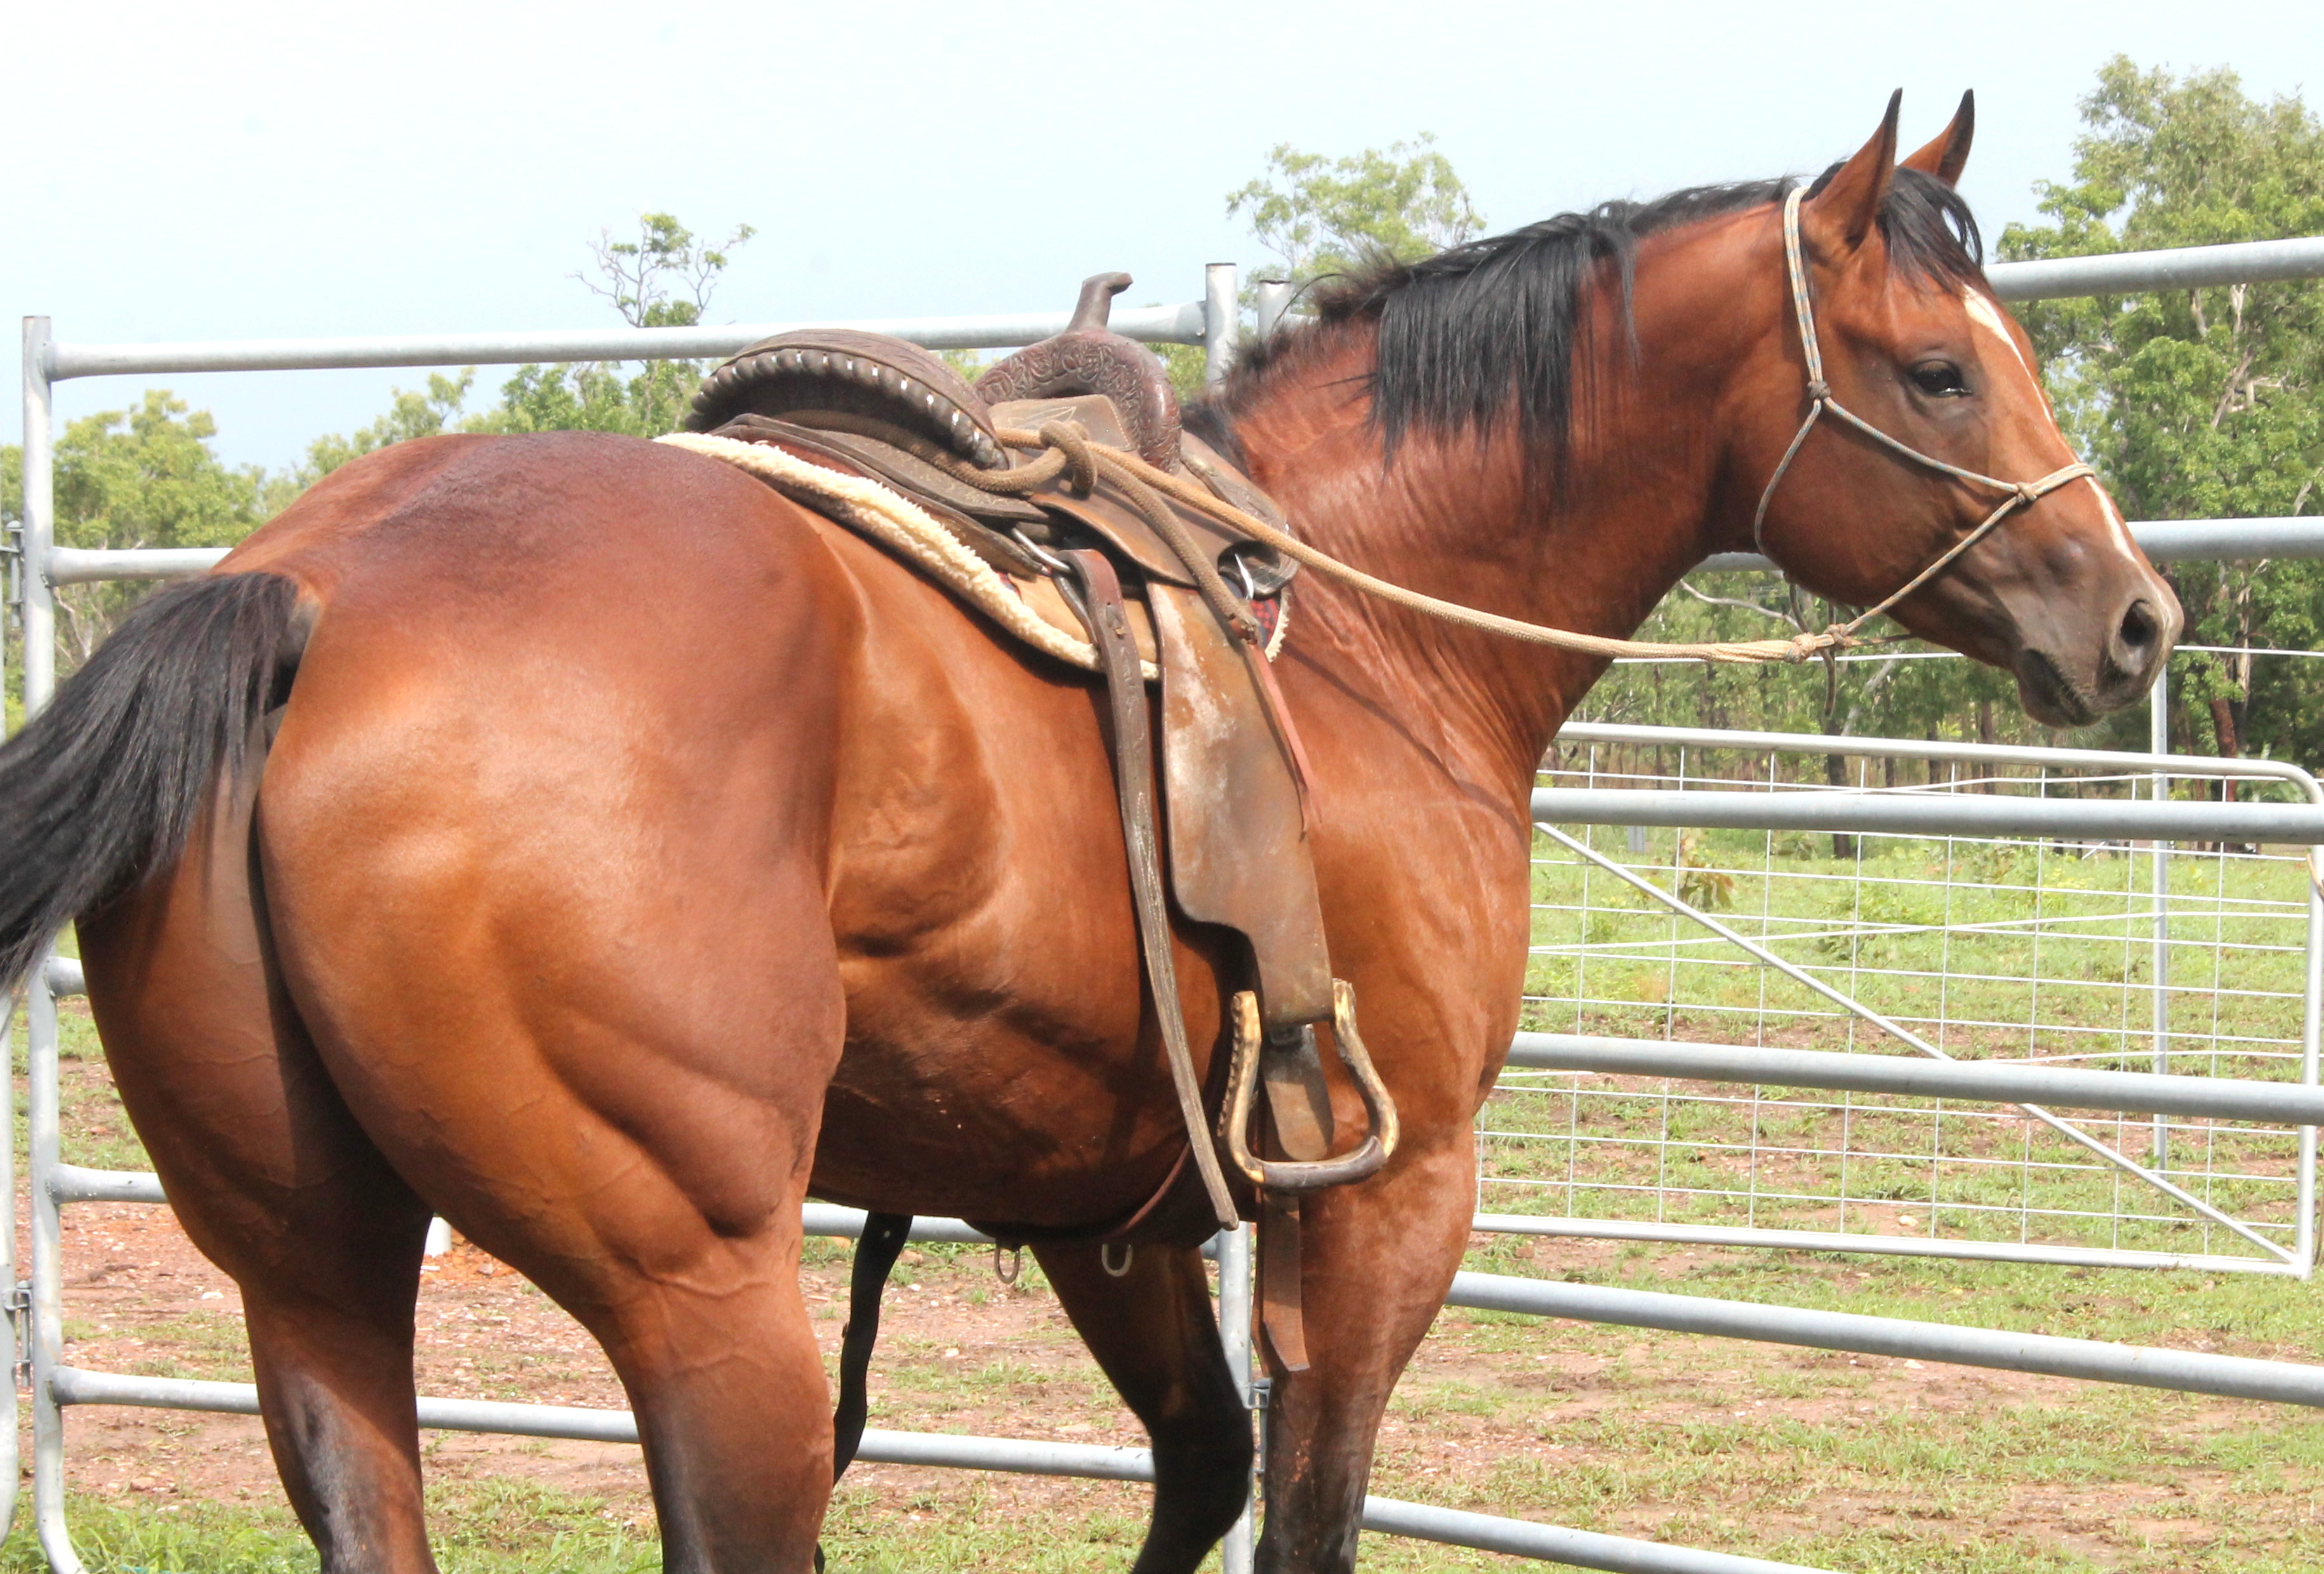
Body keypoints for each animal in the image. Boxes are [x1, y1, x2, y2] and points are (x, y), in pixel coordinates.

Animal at [0, 91, 2178, 1574]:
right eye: (1933, 369)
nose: (2132, 614)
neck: (1359, 624)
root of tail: (310, 598)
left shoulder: (1102, 1205)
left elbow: (1200, 1469)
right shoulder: (1382, 1206)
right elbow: (1304, 1509)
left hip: (311, 1277)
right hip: (704, 1296)